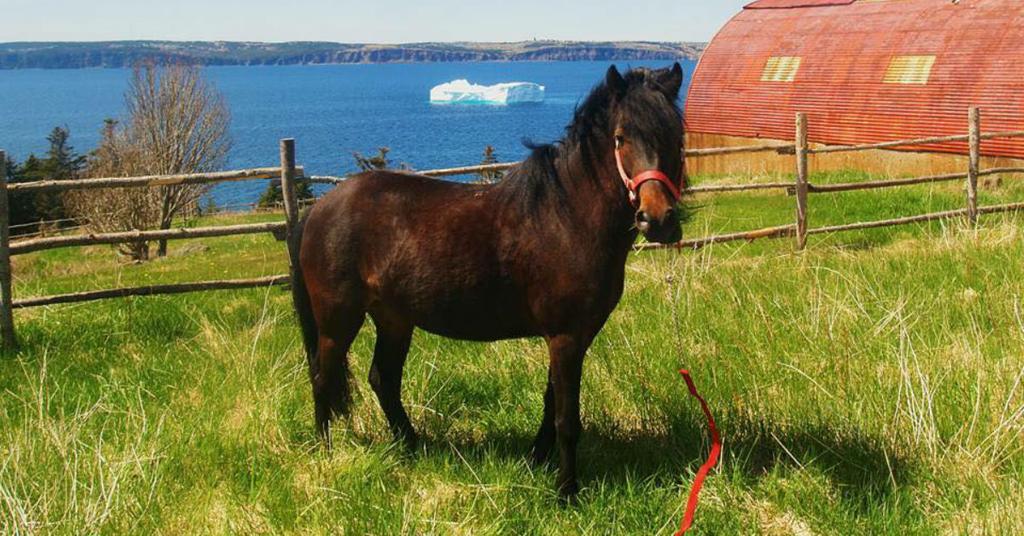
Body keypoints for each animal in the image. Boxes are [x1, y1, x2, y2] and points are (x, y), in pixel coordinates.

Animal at [290, 63, 685, 499]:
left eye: (675, 135)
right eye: (620, 137)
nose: (658, 219)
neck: (568, 218)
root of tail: (318, 209)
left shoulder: (574, 336)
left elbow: (551, 403)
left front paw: (537, 460)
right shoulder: (564, 336)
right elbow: (567, 417)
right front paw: (566, 490)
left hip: (394, 319)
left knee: (383, 379)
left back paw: (411, 446)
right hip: (337, 320)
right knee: (323, 377)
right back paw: (326, 453)